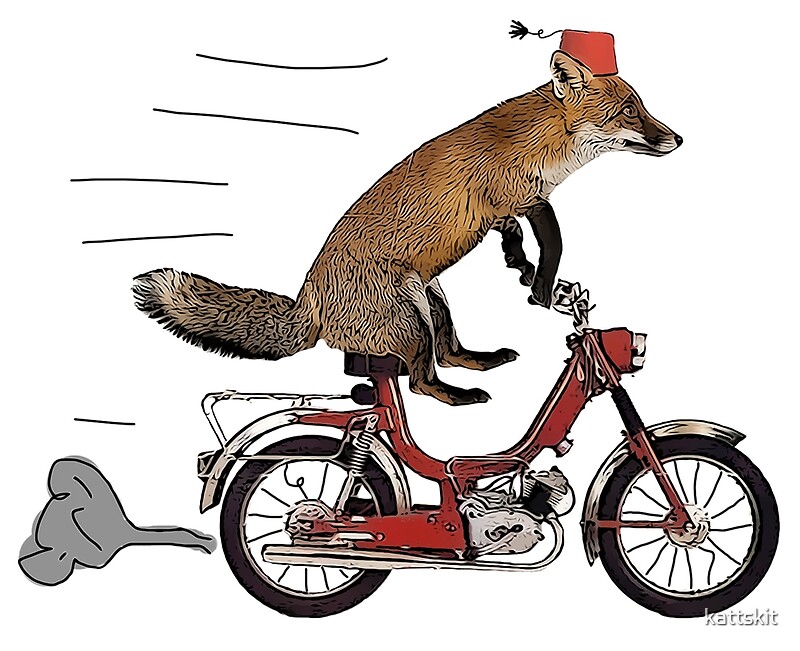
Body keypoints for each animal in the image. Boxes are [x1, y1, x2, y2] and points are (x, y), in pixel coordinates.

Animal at [133, 49, 681, 406]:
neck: (545, 144)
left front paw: (522, 268)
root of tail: (309, 300)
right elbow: (553, 241)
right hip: (409, 322)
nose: (677, 139)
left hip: (433, 304)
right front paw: (543, 285)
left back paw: (485, 360)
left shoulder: (511, 210)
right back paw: (462, 397)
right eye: (629, 111)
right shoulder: (526, 197)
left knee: (451, 352)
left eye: (643, 106)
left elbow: (517, 241)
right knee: (421, 382)